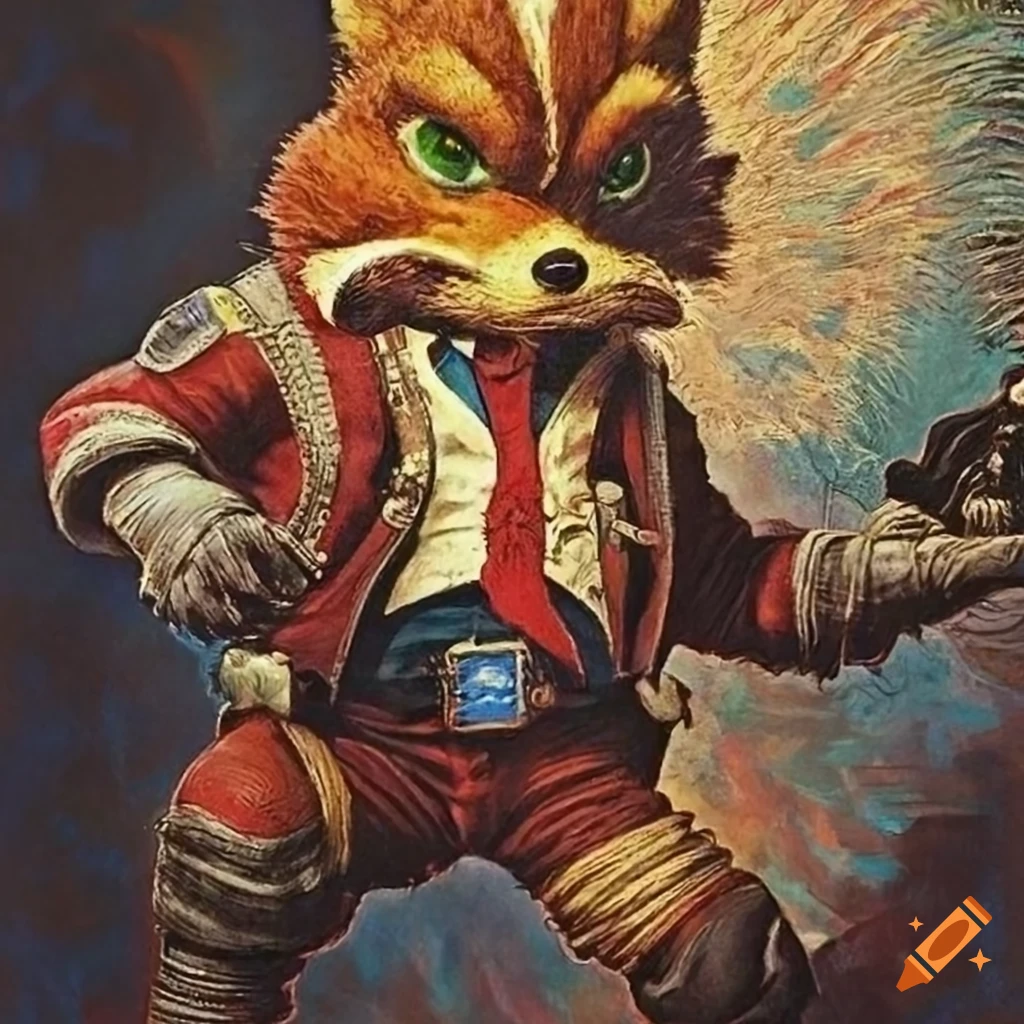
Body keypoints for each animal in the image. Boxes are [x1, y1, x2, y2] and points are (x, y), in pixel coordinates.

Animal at [39, 0, 1024, 1021]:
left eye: (627, 171)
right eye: (446, 152)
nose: (564, 267)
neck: (503, 344)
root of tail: (459, 818)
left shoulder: (669, 444)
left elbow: (723, 577)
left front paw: (913, 560)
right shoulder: (259, 333)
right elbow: (125, 409)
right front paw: (211, 542)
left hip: (566, 786)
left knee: (720, 944)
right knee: (249, 835)